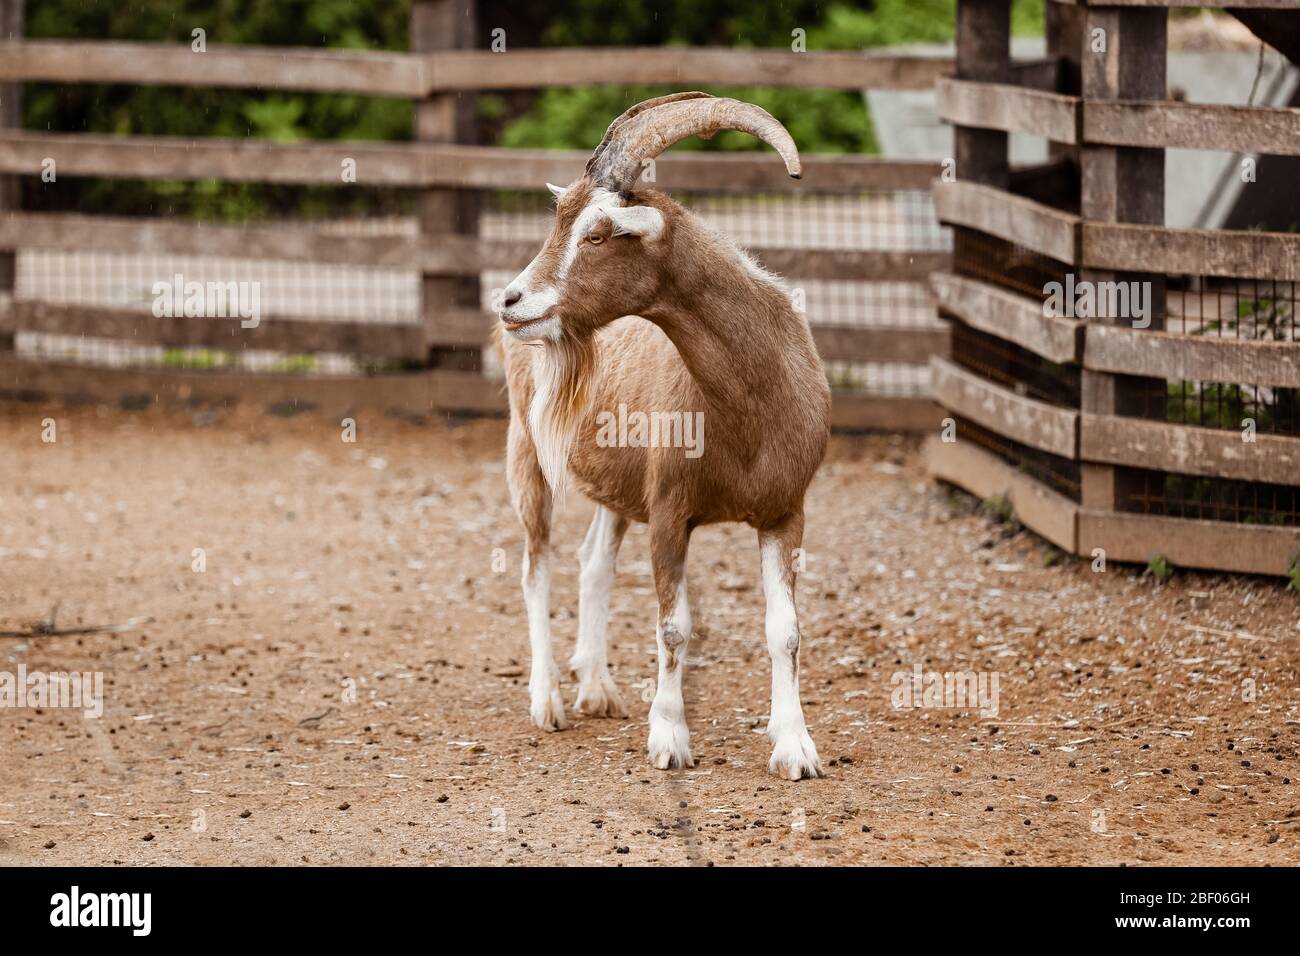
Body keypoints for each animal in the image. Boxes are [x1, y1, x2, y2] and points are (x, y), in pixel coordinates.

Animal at [498, 92, 831, 780]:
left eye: (596, 234)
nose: (512, 301)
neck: (748, 410)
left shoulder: (785, 510)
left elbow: (785, 630)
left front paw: (795, 747)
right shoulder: (670, 509)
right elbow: (673, 626)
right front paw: (670, 739)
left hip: (616, 483)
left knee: (593, 561)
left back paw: (598, 687)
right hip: (527, 450)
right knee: (535, 564)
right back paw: (548, 701)